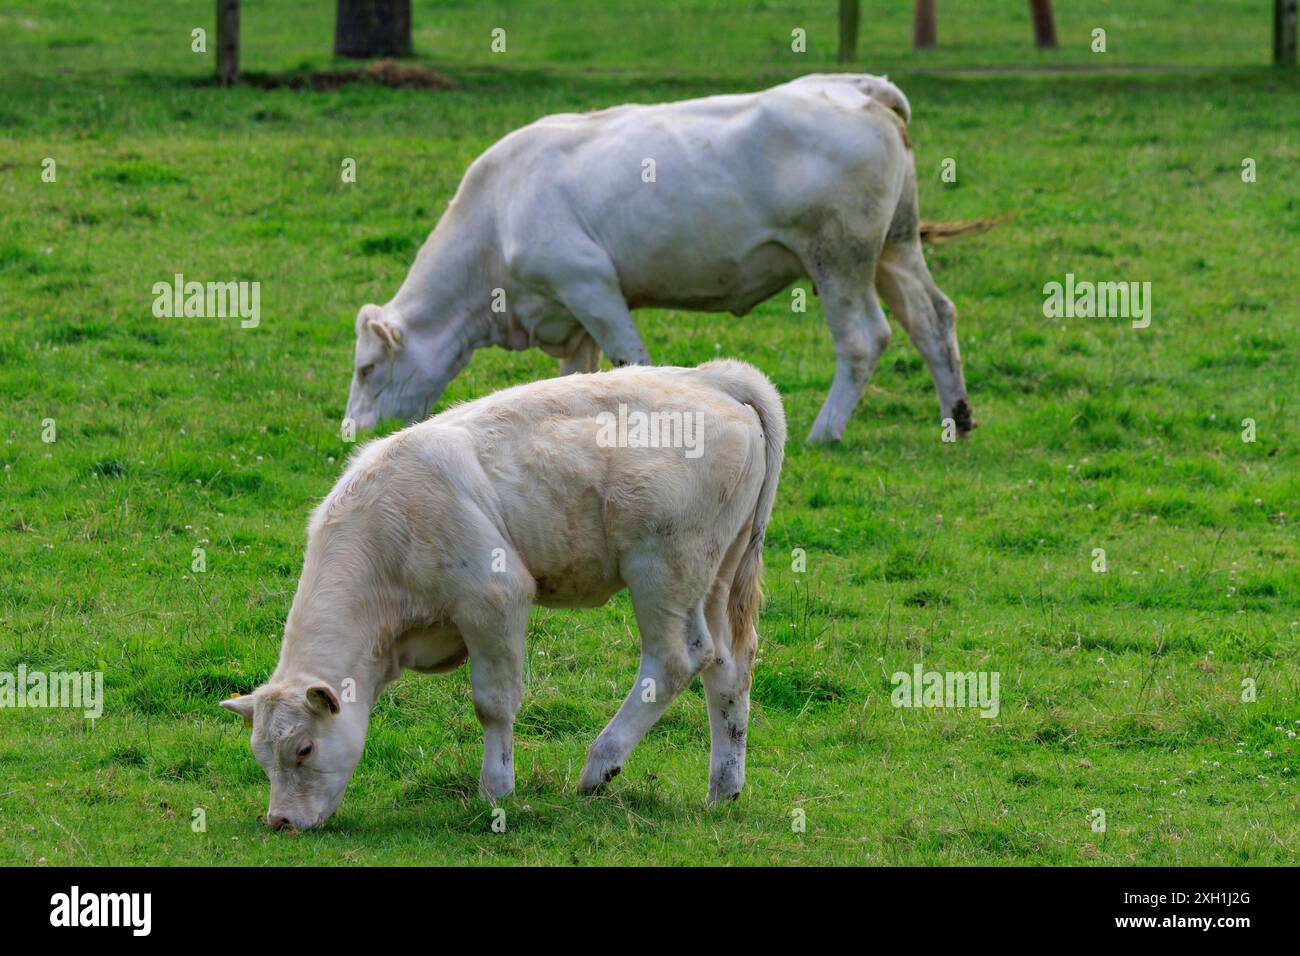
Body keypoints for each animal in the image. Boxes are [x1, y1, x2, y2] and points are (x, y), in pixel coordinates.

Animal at [221, 360, 786, 830]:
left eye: (303, 749)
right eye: (261, 756)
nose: (280, 821)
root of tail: (711, 377)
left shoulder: (494, 599)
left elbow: (492, 704)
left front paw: (496, 789)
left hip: (662, 568)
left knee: (675, 659)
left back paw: (599, 765)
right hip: (715, 575)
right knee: (728, 667)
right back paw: (723, 789)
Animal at [344, 73, 971, 445]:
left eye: (366, 369)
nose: (351, 432)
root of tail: (857, 87)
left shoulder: (589, 284)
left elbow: (630, 360)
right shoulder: (569, 318)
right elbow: (576, 378)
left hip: (839, 257)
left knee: (864, 338)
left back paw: (825, 431)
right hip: (895, 247)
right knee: (932, 317)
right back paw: (957, 415)